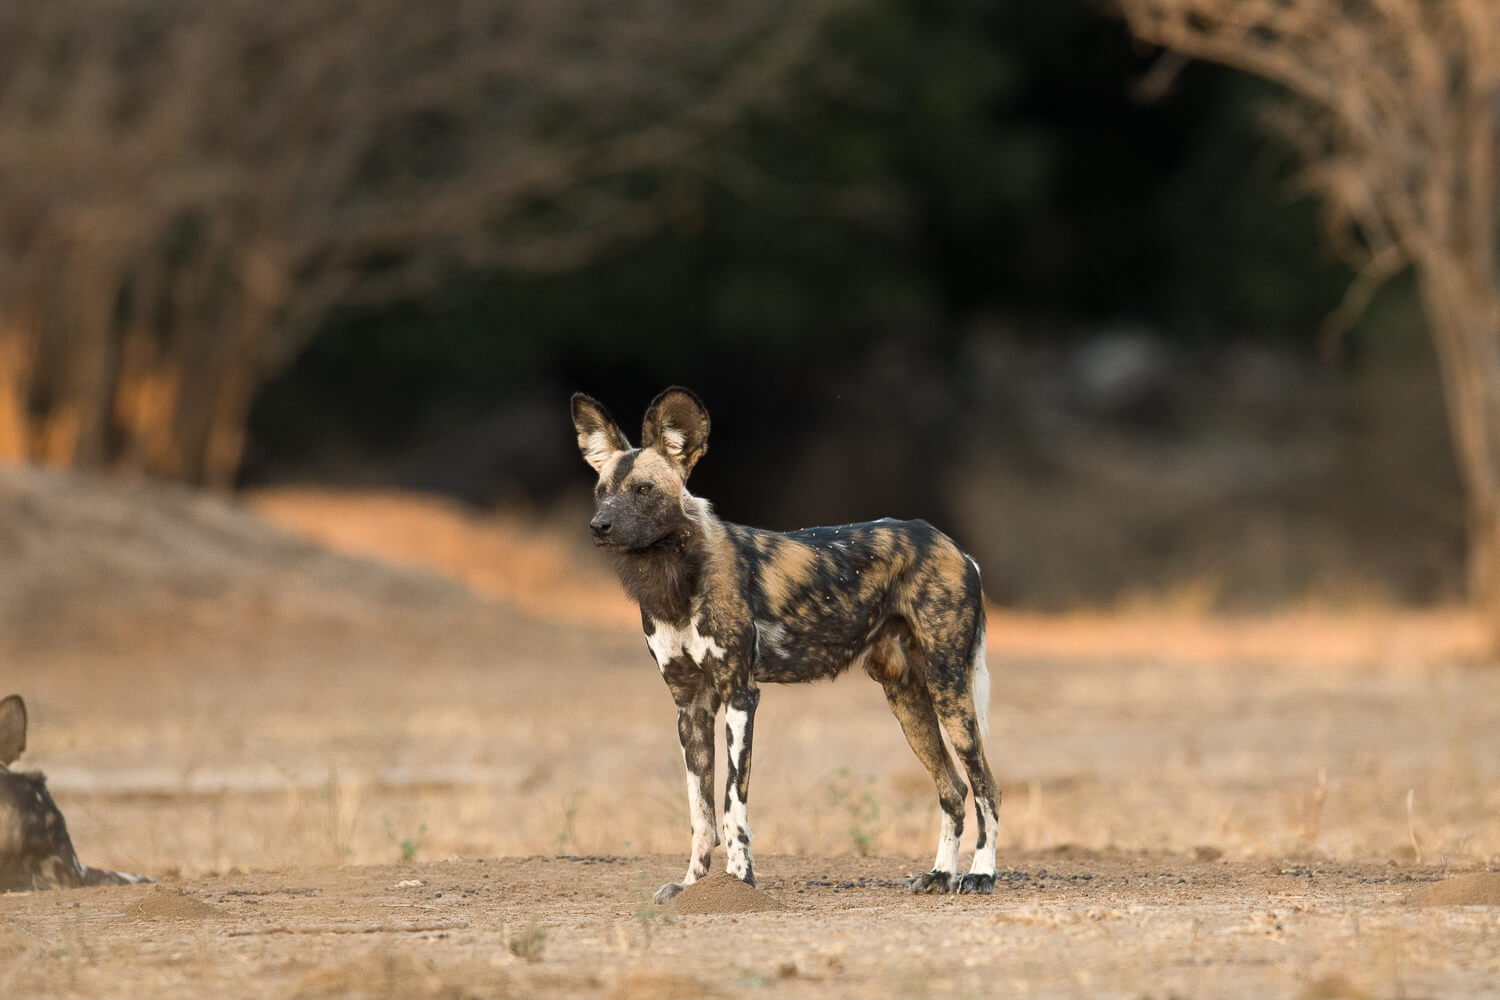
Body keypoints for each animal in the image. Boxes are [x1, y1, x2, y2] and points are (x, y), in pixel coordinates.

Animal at [571, 387, 998, 901]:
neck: (675, 580)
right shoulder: (690, 707)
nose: (599, 526)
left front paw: (740, 882)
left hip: (949, 690)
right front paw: (694, 888)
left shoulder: (740, 696)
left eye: (643, 490)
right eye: (602, 492)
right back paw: (939, 874)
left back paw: (981, 873)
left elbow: (731, 806)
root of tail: (954, 547)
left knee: (986, 786)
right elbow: (700, 814)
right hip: (907, 699)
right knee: (953, 788)